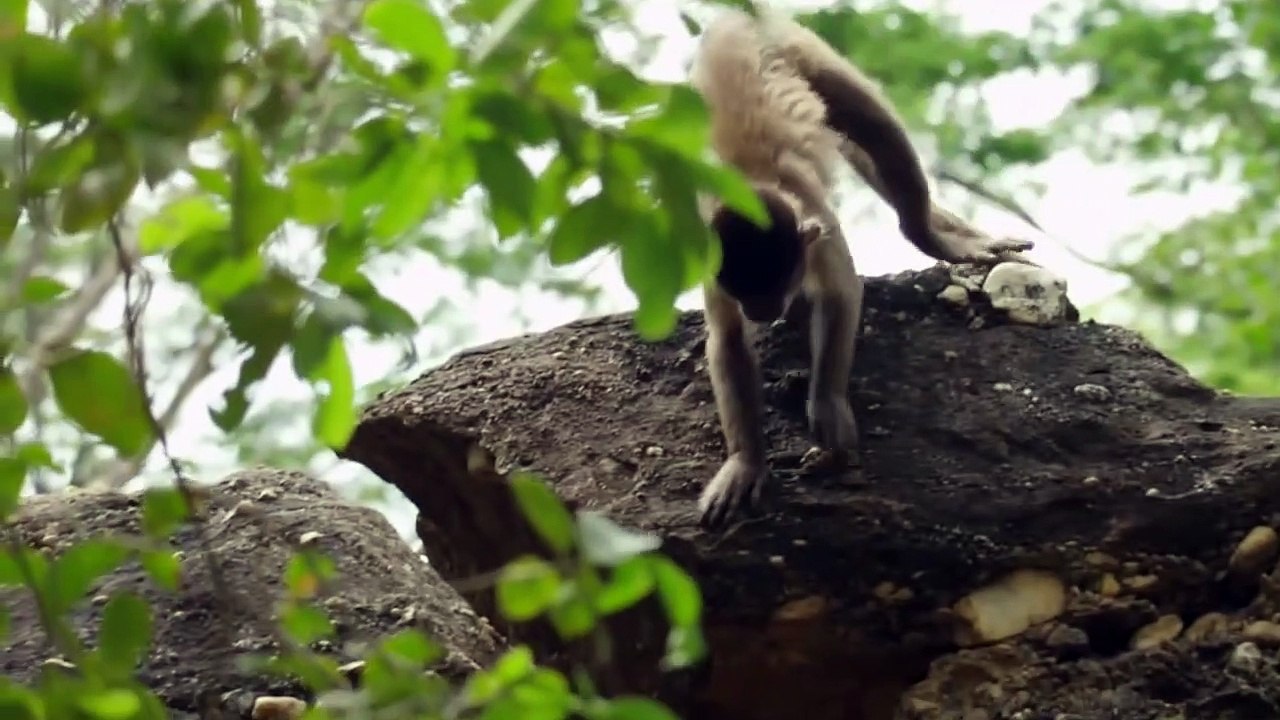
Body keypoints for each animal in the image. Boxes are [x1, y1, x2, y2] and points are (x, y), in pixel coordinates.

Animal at [691, 8, 1033, 528]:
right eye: (747, 293)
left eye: (775, 284)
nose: (761, 311)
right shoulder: (712, 262)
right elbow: (728, 340)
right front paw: (746, 461)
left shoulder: (819, 230)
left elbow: (841, 295)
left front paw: (826, 406)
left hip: (803, 46)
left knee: (874, 126)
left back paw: (932, 233)